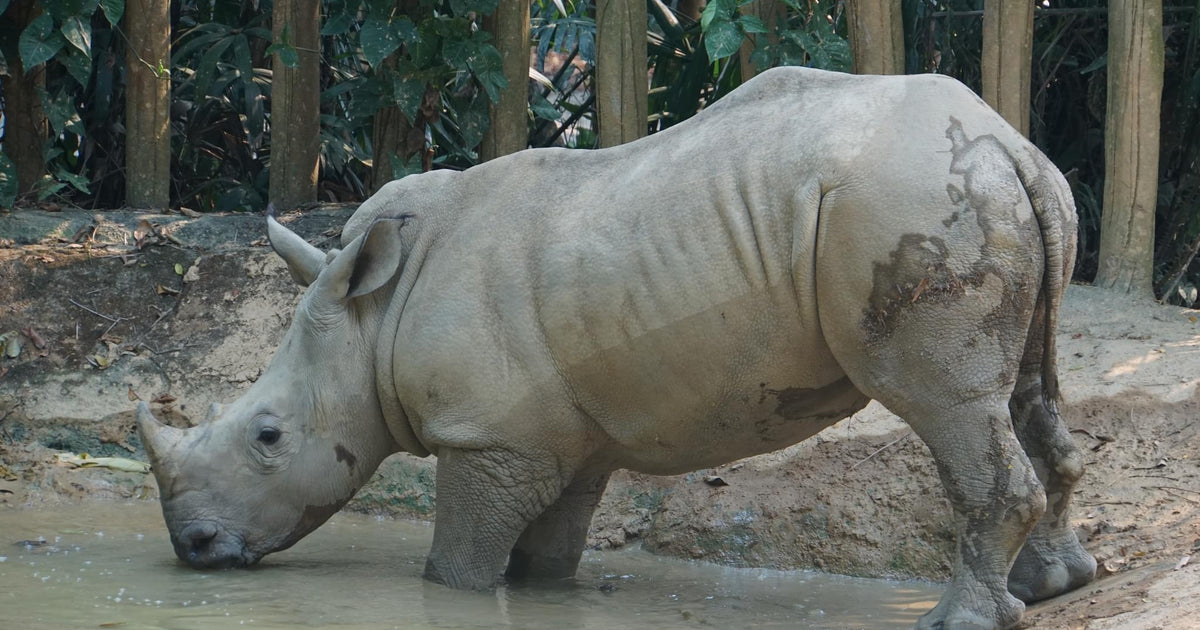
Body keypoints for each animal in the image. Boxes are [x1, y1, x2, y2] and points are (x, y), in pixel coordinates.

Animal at [138, 67, 1096, 629]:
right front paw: (544, 596)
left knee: (948, 406)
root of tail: (1010, 140)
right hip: (992, 192)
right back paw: (1049, 587)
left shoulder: (489, 438)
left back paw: (963, 619)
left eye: (268, 436)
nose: (193, 548)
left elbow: (457, 568)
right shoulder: (565, 435)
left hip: (909, 201)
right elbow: (547, 553)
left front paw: (454, 589)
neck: (371, 323)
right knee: (1027, 393)